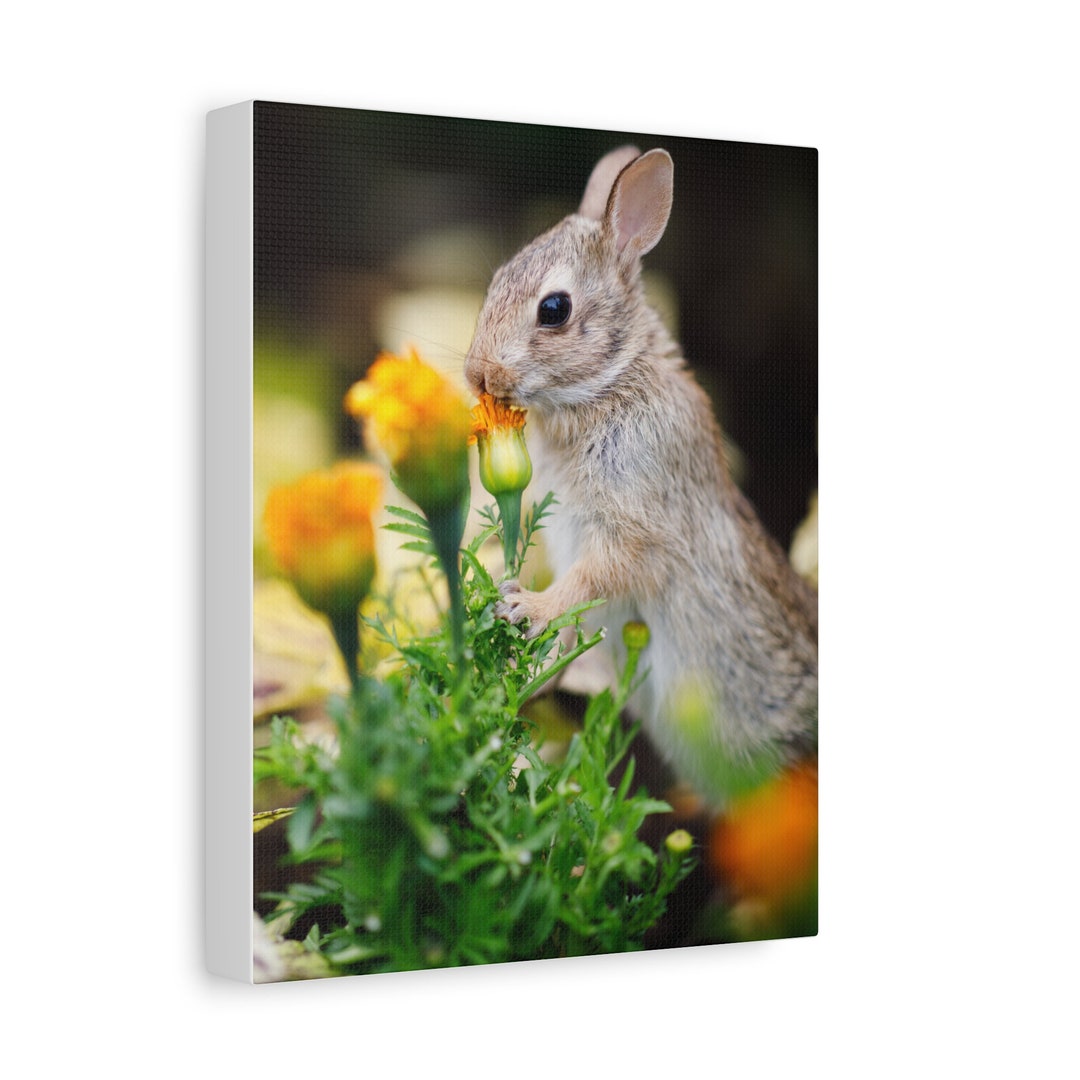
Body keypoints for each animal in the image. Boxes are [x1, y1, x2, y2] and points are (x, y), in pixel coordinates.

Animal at [463, 146, 818, 805]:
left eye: (554, 309)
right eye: (496, 279)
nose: (477, 374)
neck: (610, 383)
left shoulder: (637, 519)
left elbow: (593, 578)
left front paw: (529, 606)